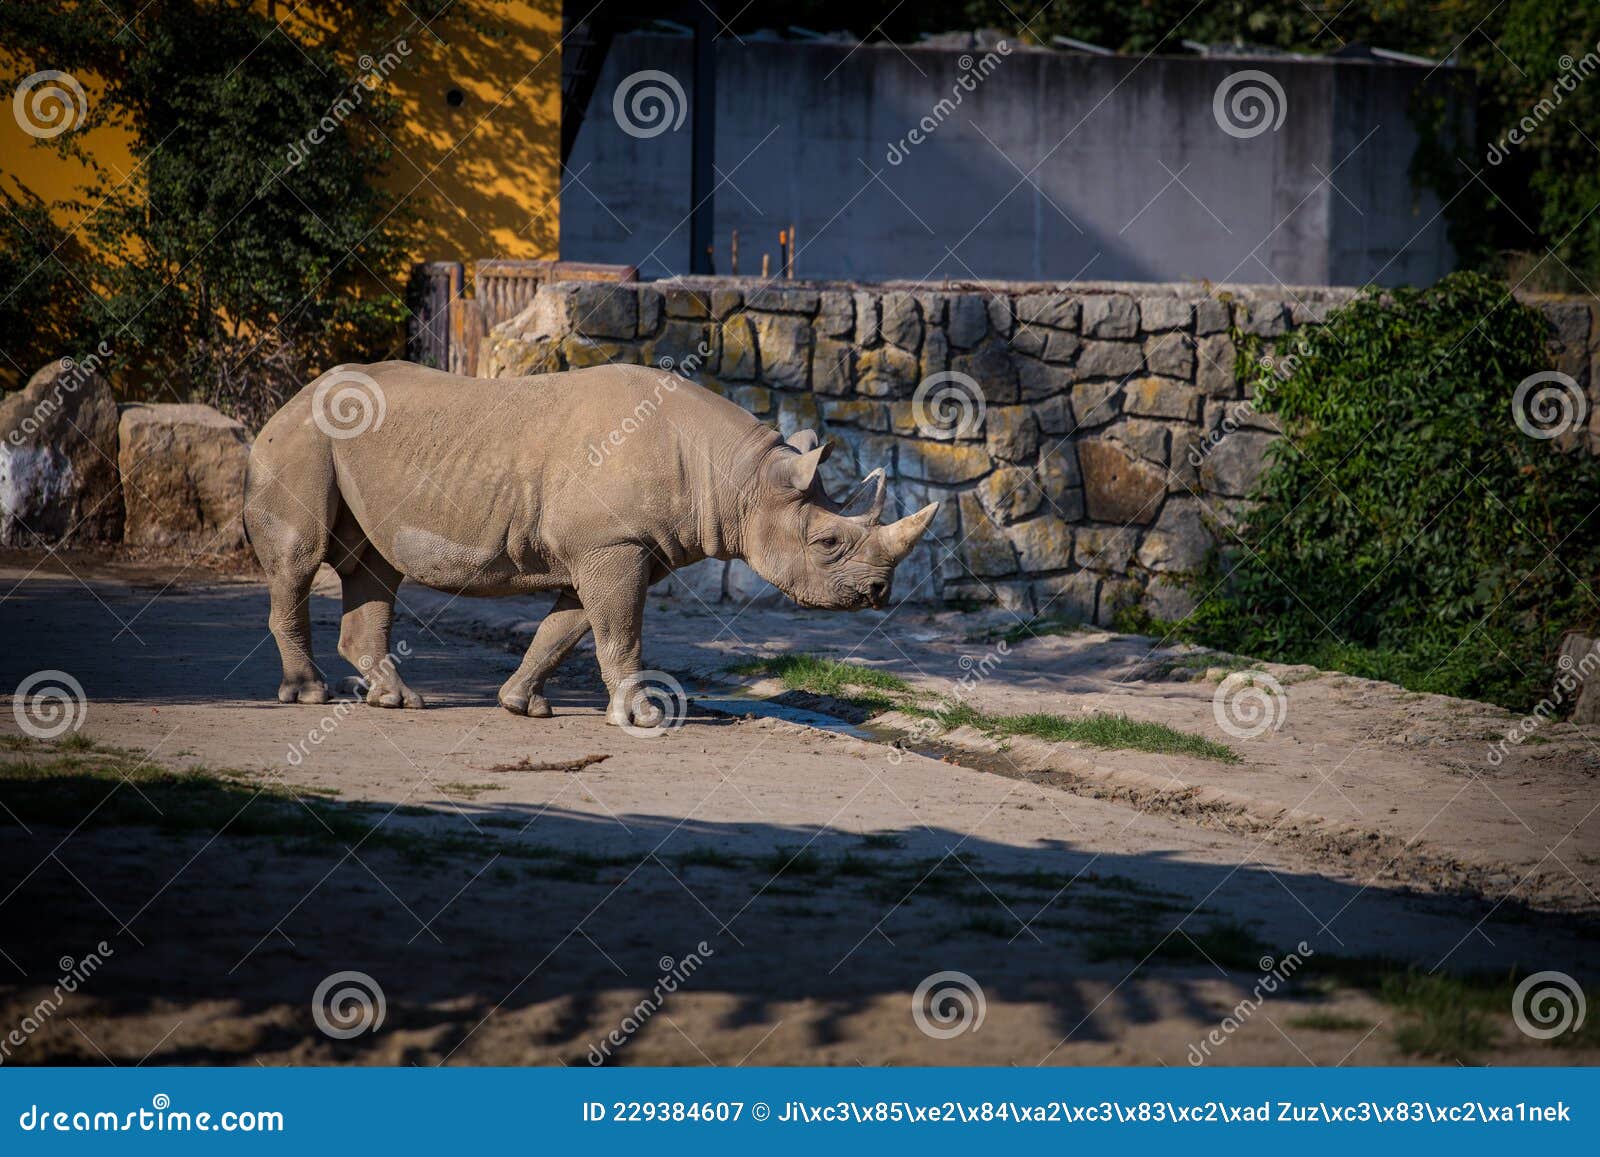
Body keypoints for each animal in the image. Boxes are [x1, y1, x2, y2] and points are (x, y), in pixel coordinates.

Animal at [243, 360, 938, 728]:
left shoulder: (617, 547)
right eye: (827, 541)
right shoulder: (614, 543)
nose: (879, 593)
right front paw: (646, 719)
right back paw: (309, 695)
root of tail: (289, 398)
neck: (738, 477)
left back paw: (397, 700)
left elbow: (569, 628)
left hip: (338, 444)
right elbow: (618, 632)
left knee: (375, 568)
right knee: (300, 560)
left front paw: (521, 705)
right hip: (302, 439)